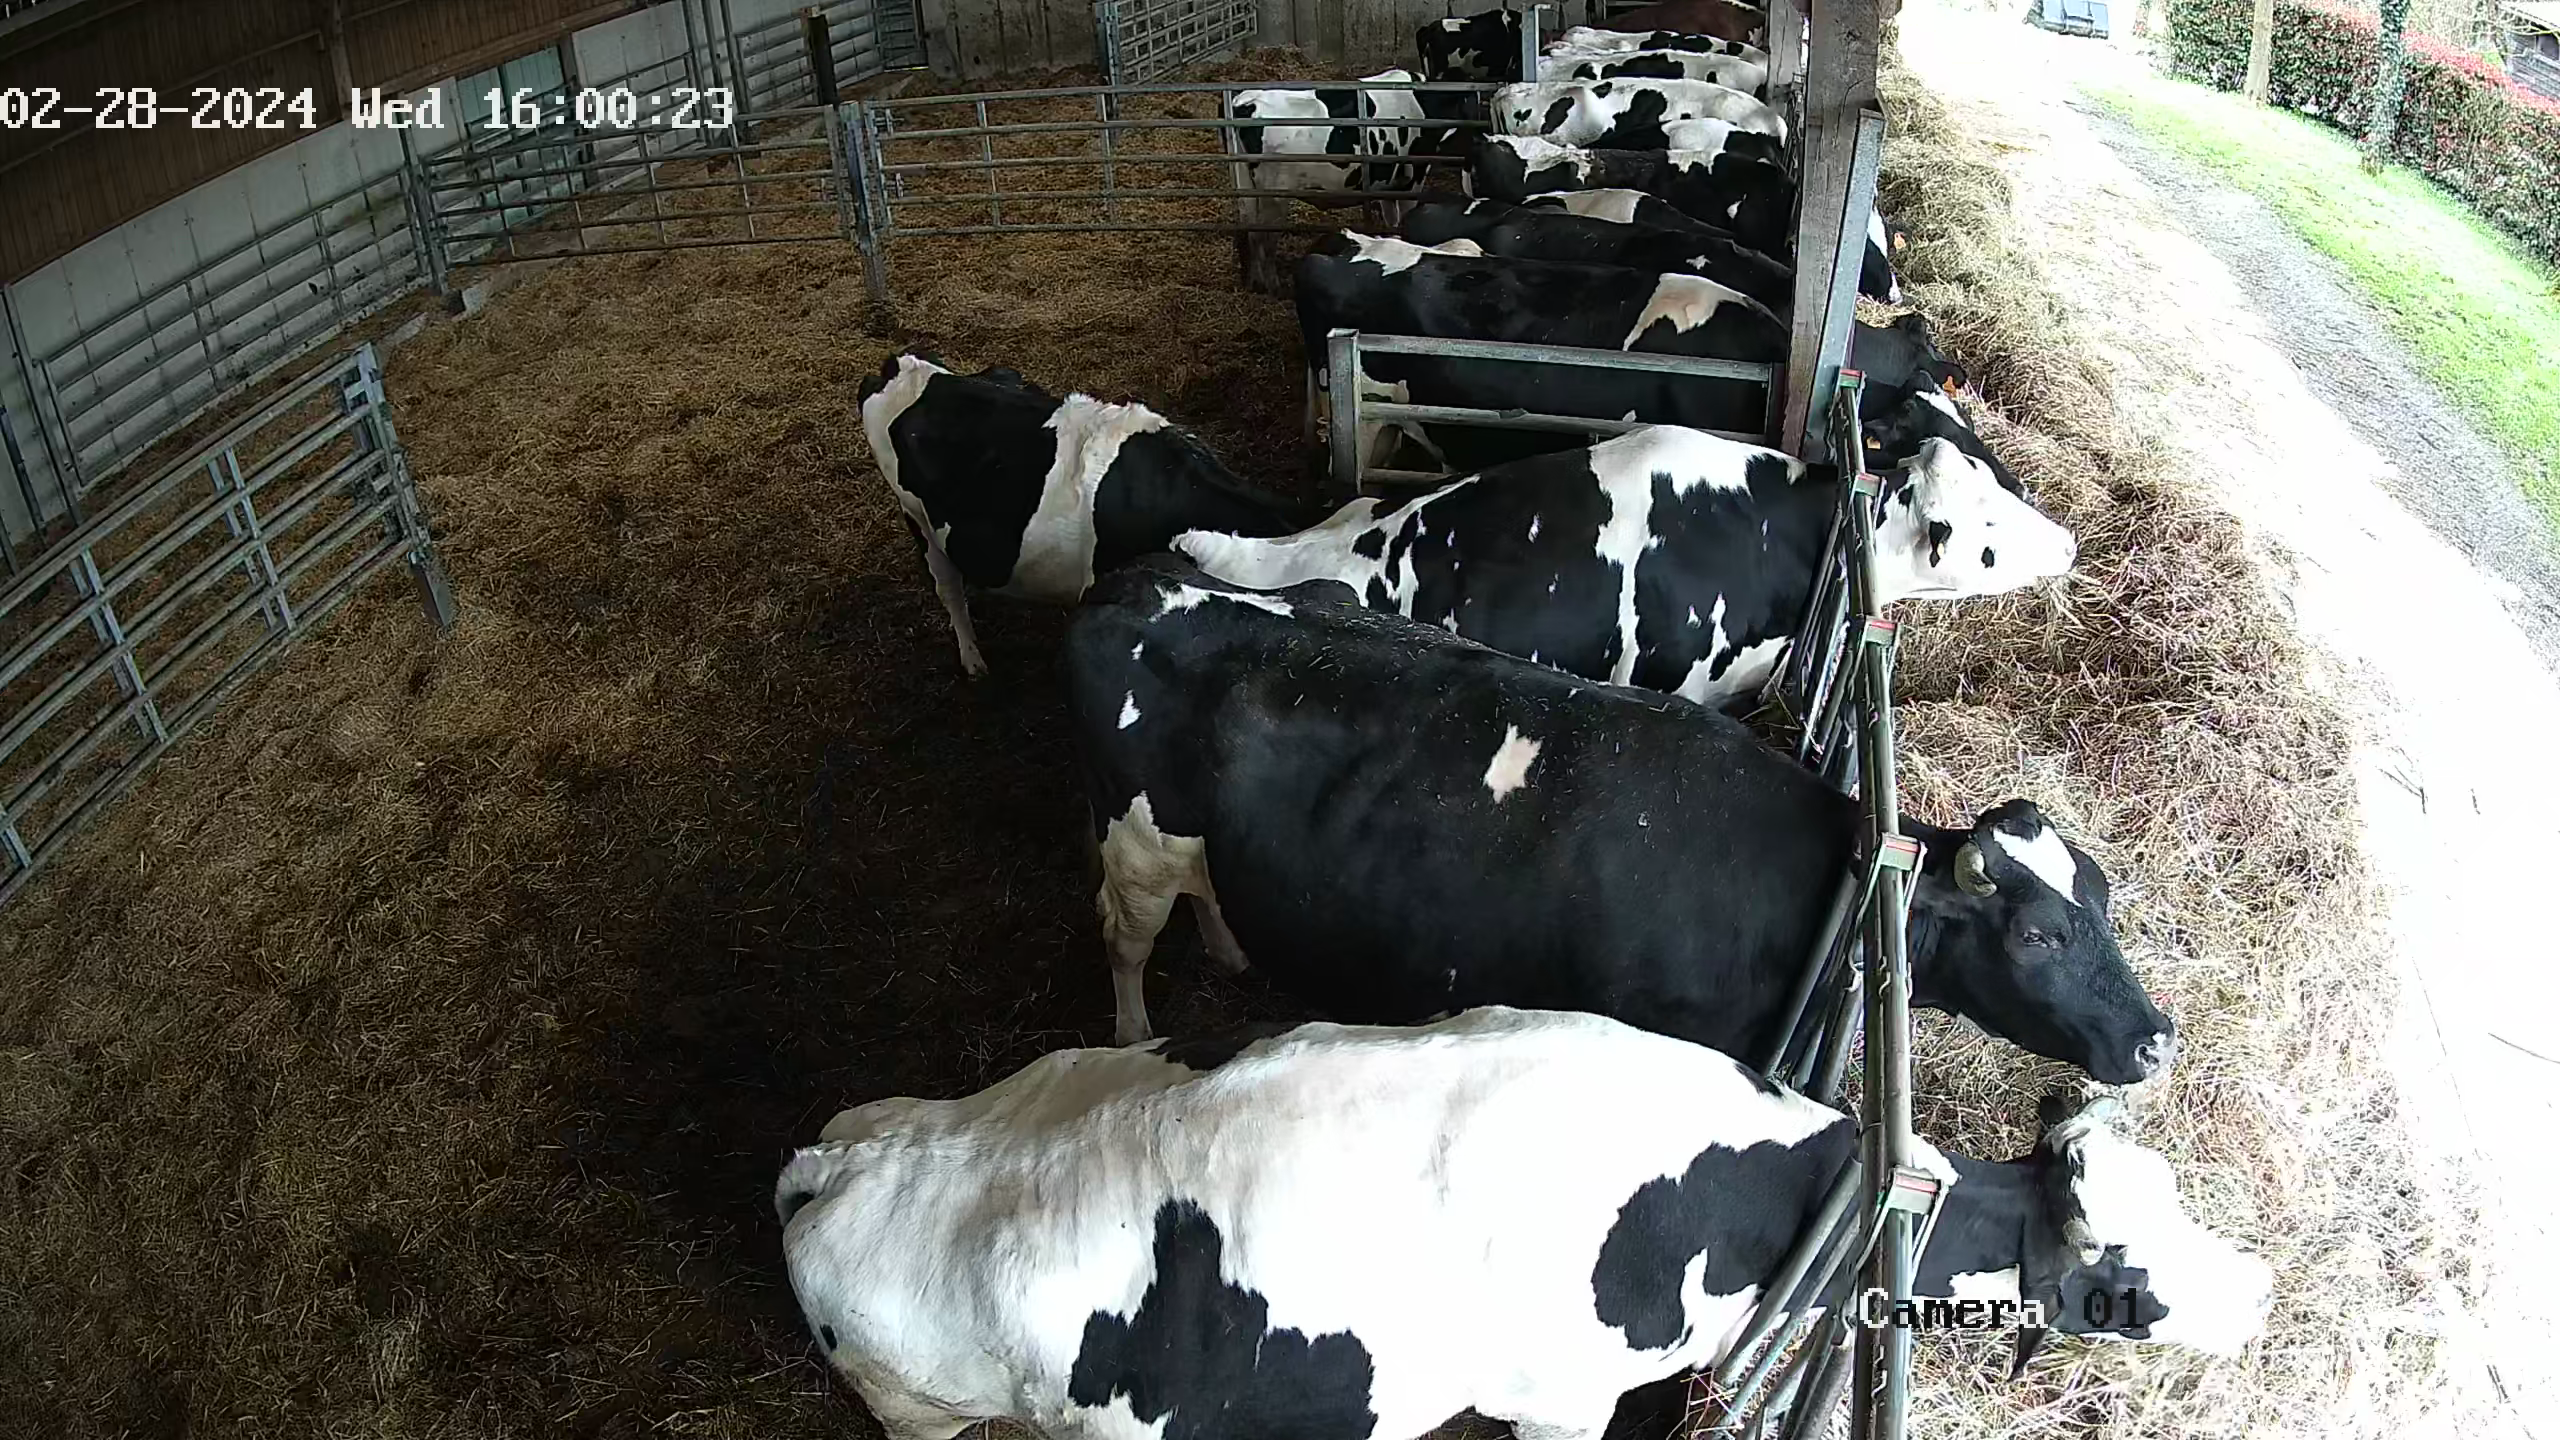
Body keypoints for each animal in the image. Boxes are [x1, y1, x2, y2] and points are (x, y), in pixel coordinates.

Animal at [1067, 555, 2173, 1085]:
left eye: (2107, 901)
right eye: (2040, 934)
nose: (2157, 1041)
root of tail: (1145, 579)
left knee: (1210, 894)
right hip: (1134, 843)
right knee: (1123, 940)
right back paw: (1131, 1030)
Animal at [1231, 71, 1432, 292]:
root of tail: (1248, 100)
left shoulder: (1390, 182)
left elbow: (1391, 220)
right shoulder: (1415, 173)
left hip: (1247, 188)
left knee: (1249, 231)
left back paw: (1254, 283)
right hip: (1275, 194)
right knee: (1265, 237)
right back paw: (1274, 286)